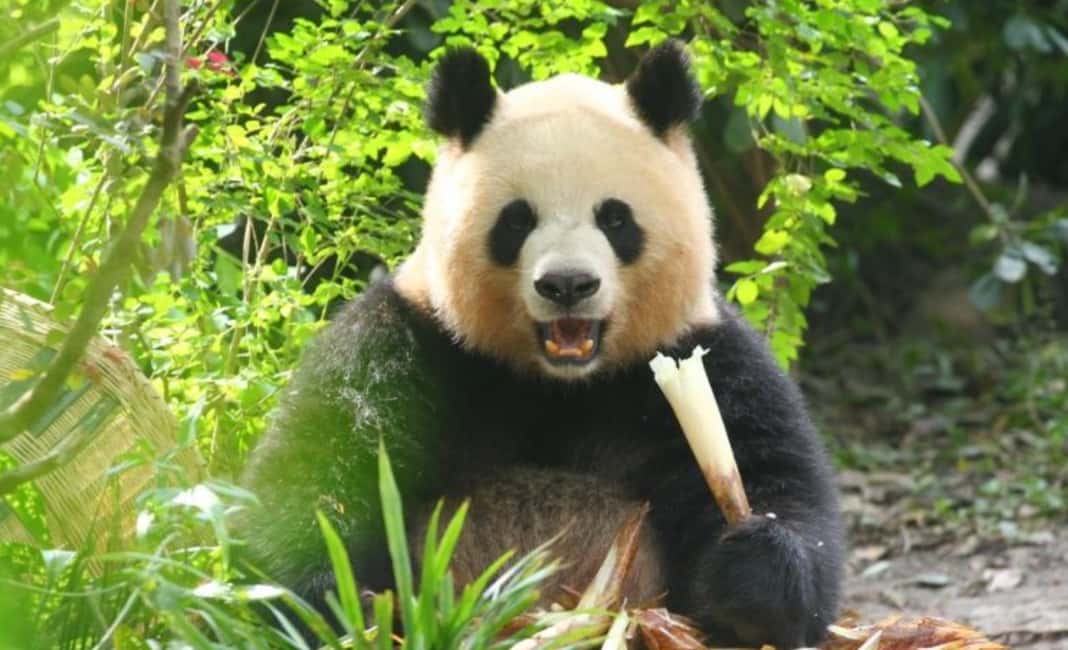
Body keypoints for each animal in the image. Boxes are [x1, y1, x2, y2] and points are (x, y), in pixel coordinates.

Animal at [239, 41, 844, 648]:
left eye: (615, 218)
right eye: (516, 220)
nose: (568, 285)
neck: (559, 384)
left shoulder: (703, 360)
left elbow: (780, 484)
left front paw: (750, 572)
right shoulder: (410, 340)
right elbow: (322, 471)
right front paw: (346, 600)